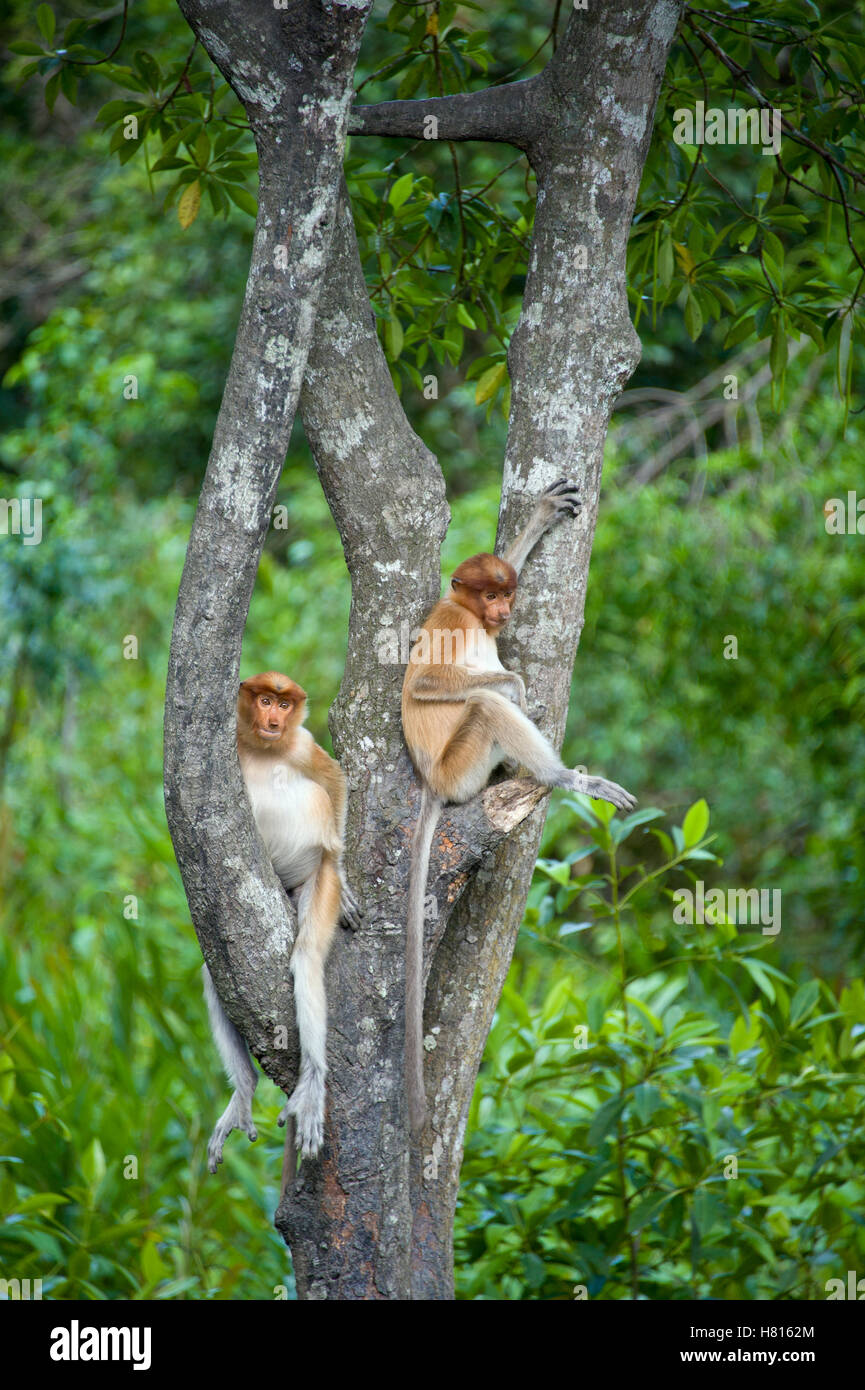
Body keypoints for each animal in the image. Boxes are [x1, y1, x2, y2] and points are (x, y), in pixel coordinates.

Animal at [203, 672, 360, 1184]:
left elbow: (334, 780)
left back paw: (311, 1087)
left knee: (306, 959)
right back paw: (243, 1090)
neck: (265, 749)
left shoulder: (303, 744)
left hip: (313, 879)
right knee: (213, 973)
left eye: (285, 704)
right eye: (265, 699)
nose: (274, 719)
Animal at [401, 479, 637, 1137]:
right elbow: (426, 682)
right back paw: (563, 776)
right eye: (488, 595)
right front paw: (517, 686)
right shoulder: (450, 622)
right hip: (459, 766)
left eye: (505, 592)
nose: (503, 613)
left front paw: (542, 514)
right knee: (484, 704)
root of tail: (432, 781)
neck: (471, 616)